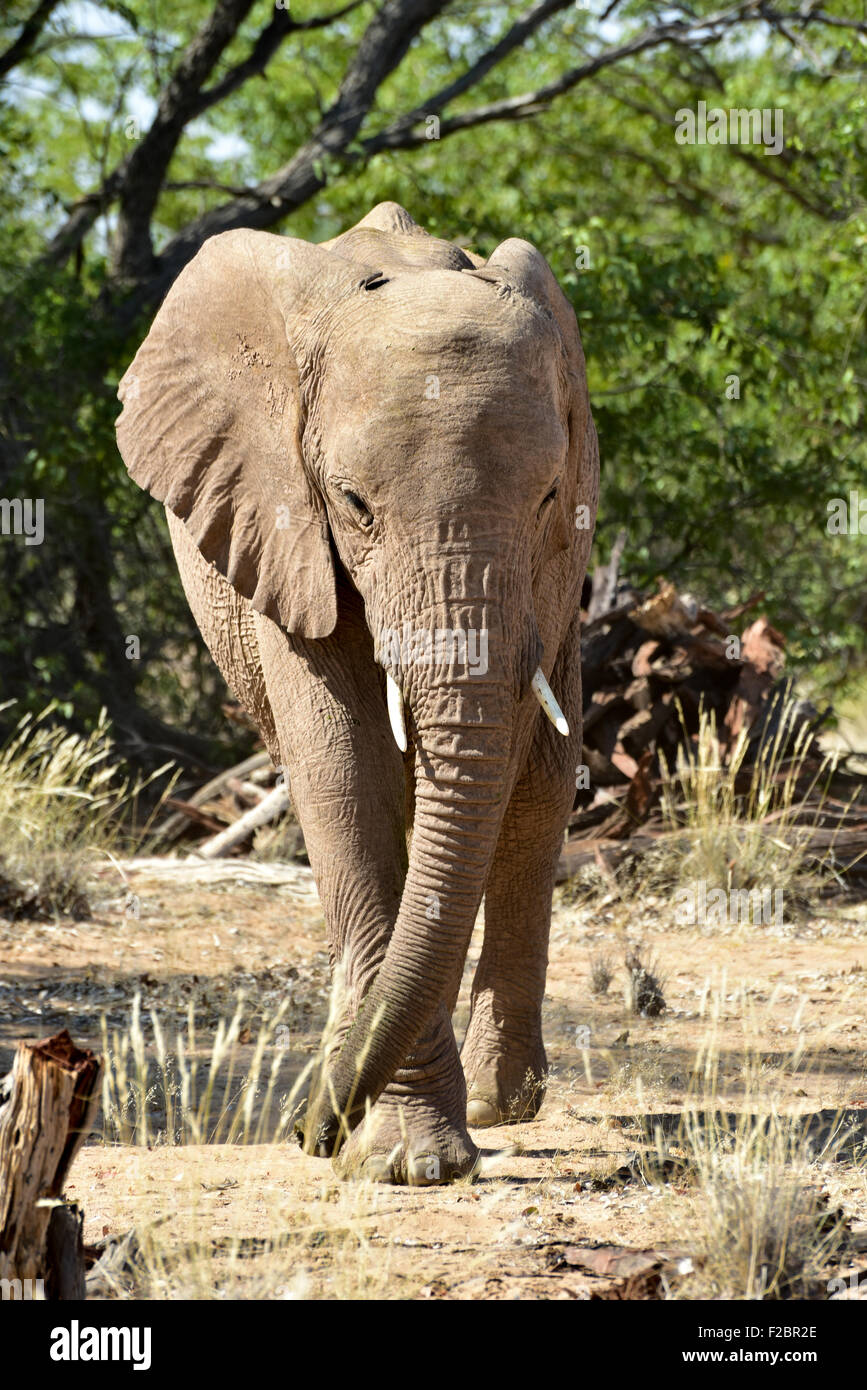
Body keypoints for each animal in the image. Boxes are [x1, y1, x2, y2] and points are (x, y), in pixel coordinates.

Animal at [115, 201, 599, 1185]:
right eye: (351, 503)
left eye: (547, 498)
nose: (307, 1130)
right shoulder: (279, 520)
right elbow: (341, 770)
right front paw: (405, 1159)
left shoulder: (545, 566)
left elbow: (501, 767)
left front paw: (402, 1148)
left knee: (538, 785)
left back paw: (502, 1105)